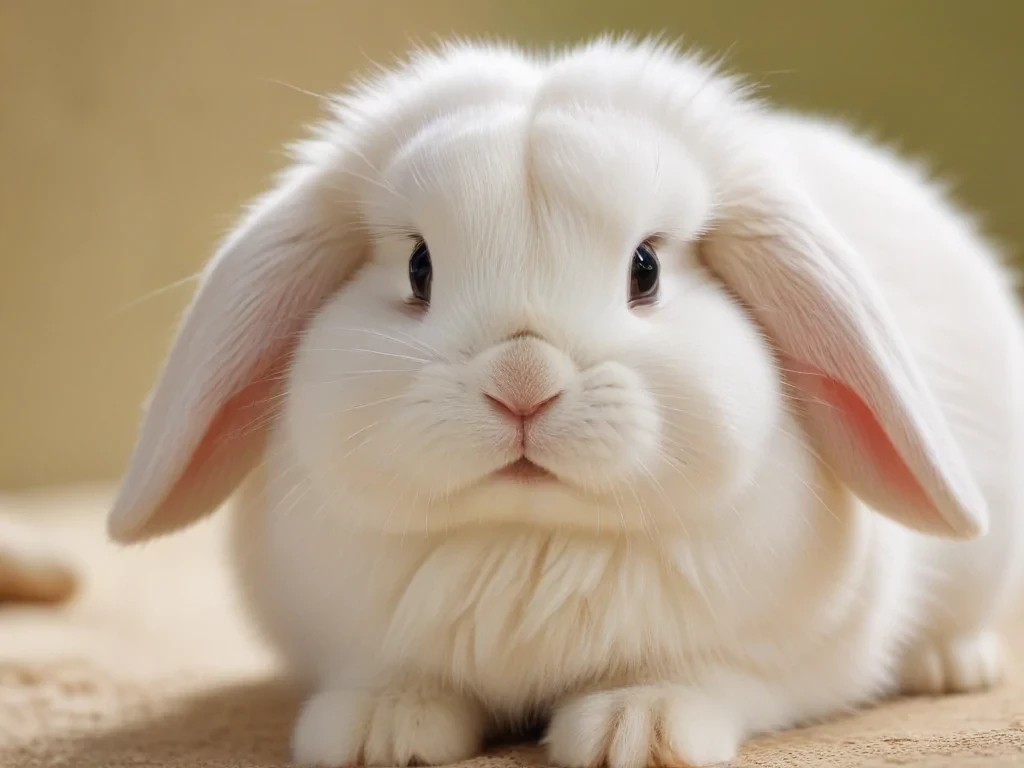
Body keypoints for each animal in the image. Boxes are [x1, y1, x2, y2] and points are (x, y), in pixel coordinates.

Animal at [106, 37, 1024, 768]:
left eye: (646, 269)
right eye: (418, 267)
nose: (523, 383)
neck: (529, 540)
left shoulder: (793, 658)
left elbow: (714, 676)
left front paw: (636, 729)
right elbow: (391, 676)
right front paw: (381, 731)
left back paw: (952, 667)